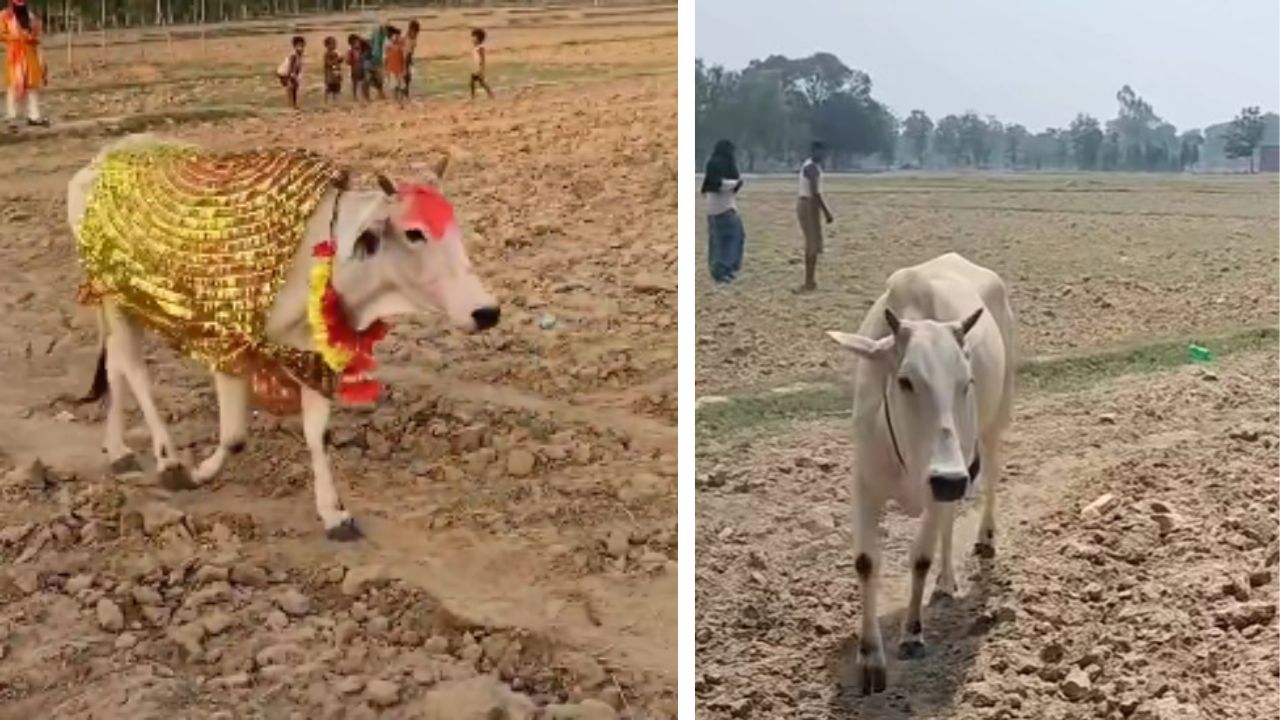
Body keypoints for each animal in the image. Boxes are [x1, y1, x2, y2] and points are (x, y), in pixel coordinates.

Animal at [67, 134, 500, 541]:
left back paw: (119, 450)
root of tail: (100, 159)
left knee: (116, 366)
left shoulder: (313, 358)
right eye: (414, 233)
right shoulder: (229, 342)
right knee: (133, 370)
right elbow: (235, 435)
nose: (486, 312)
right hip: (113, 295)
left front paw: (334, 514)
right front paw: (199, 473)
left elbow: (317, 435)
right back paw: (168, 460)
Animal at [826, 252, 1016, 695]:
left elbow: (920, 559)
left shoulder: (944, 482)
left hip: (993, 426)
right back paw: (947, 582)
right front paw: (870, 657)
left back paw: (983, 540)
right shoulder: (865, 485)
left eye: (966, 381)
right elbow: (866, 561)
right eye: (905, 380)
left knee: (991, 479)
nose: (948, 479)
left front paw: (912, 635)